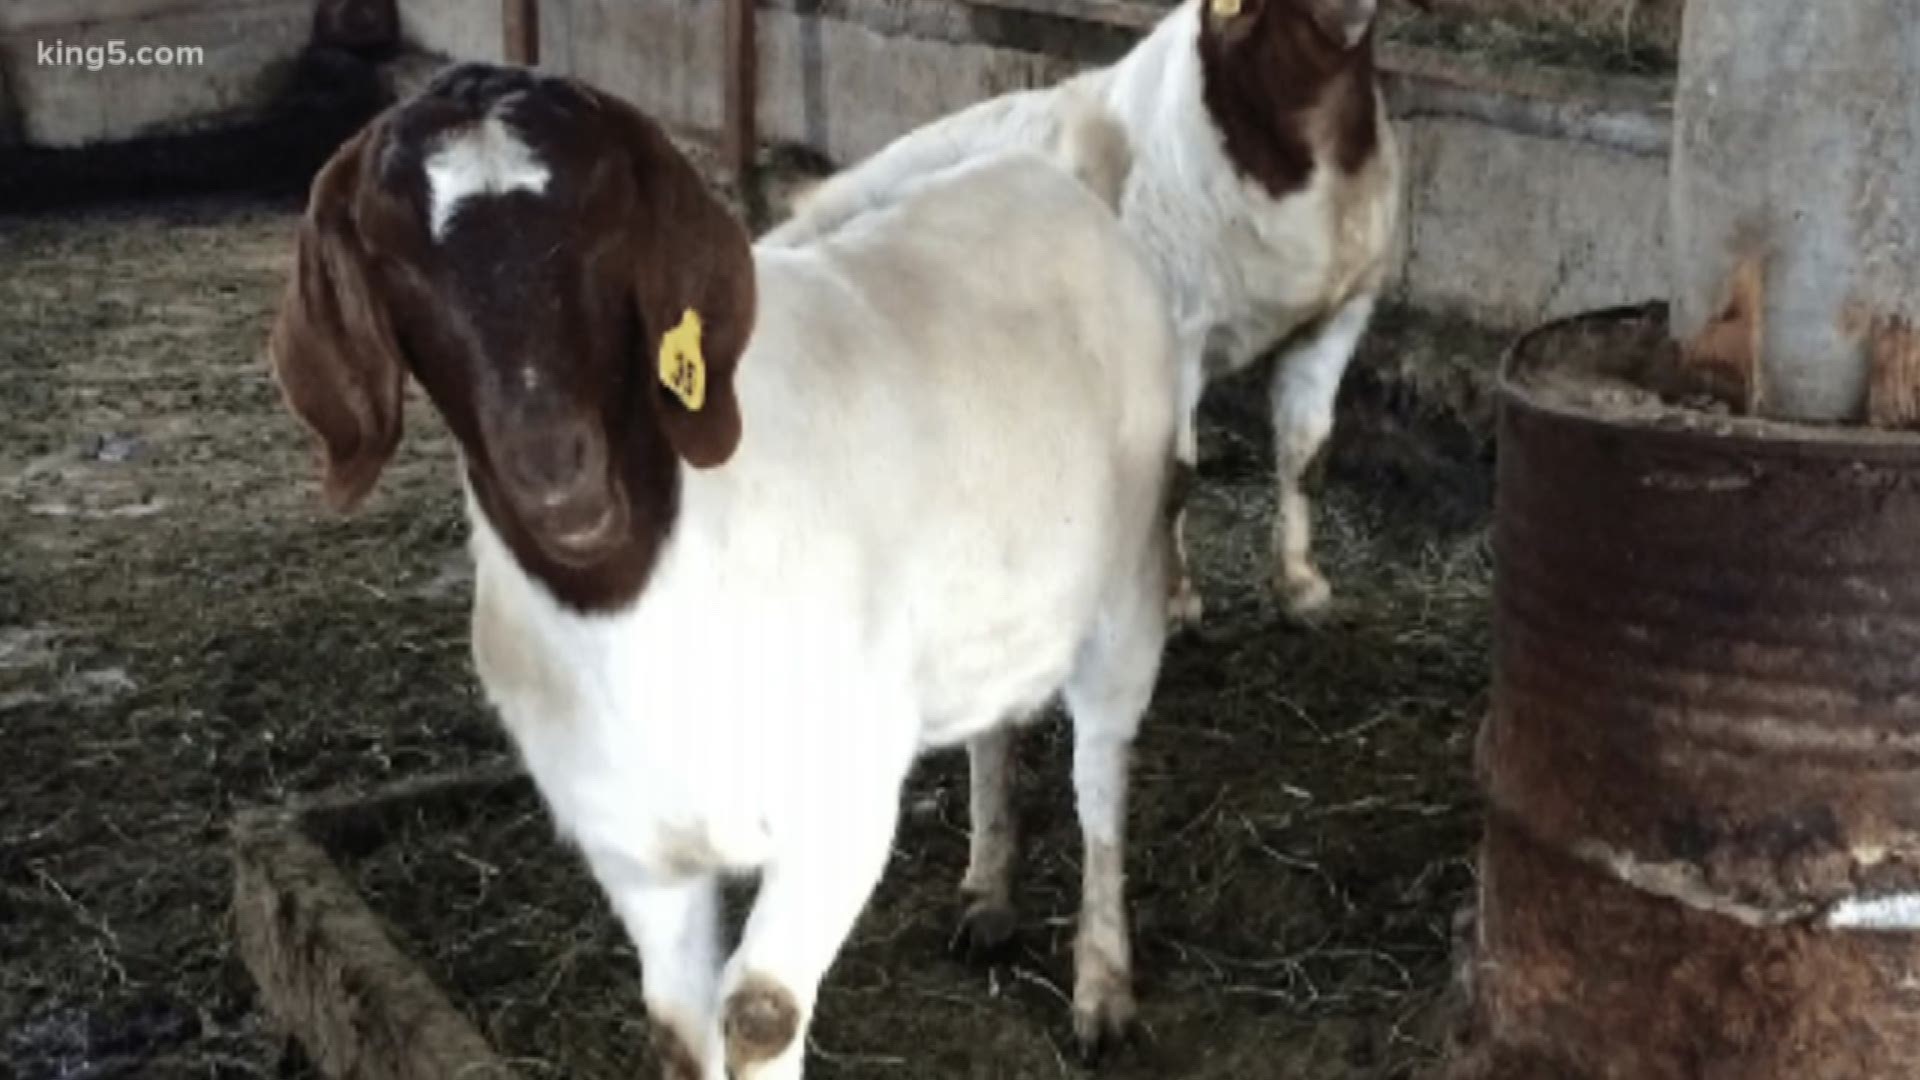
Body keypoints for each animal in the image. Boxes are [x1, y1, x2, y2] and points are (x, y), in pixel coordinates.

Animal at [268, 64, 1175, 1080]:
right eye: (395, 264)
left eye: (608, 226)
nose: (554, 469)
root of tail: (1063, 177)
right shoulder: (633, 844)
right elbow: (677, 1027)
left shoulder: (840, 801)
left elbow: (759, 1014)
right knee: (995, 722)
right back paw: (987, 896)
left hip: (1130, 584)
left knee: (1101, 773)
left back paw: (1101, 989)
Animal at [784, 0, 1407, 624]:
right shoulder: (1180, 330)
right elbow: (1177, 475)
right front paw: (1176, 599)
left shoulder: (1340, 316)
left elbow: (1307, 453)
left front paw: (1301, 585)